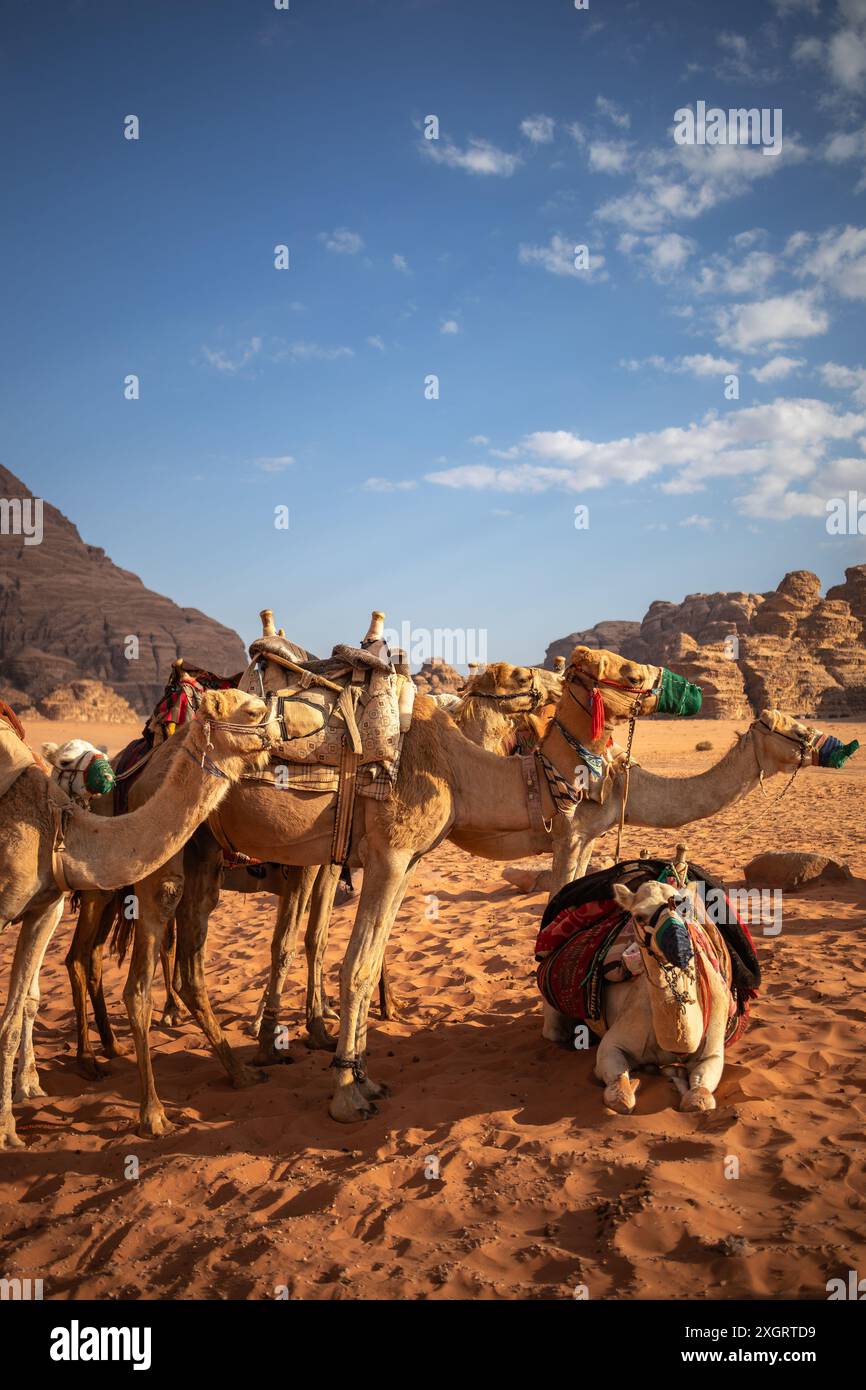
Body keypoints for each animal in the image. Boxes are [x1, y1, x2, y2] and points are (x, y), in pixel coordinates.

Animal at [0, 688, 275, 1148]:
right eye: (254, 711)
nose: (278, 734)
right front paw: (154, 1116)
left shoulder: (41, 909)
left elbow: (12, 1015)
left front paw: (8, 1129)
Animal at [117, 644, 690, 1134]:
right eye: (630, 674)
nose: (679, 687)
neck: (455, 768)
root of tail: (143, 764)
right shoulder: (390, 854)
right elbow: (356, 967)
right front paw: (347, 1094)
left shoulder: (404, 861)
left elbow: (367, 965)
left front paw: (365, 1076)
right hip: (163, 851)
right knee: (140, 978)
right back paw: (153, 1114)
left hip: (205, 853)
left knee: (190, 962)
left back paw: (238, 1073)